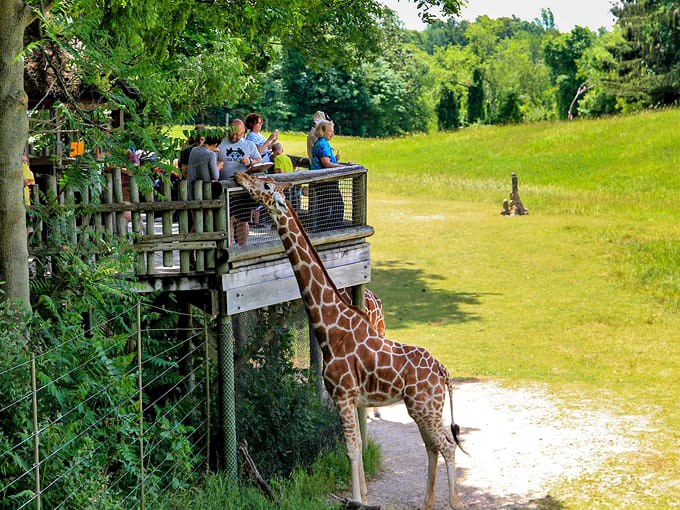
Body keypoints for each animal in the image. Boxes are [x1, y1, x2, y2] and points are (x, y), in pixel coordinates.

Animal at [234, 172, 466, 510]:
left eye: (265, 185)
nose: (240, 175)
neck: (331, 328)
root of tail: (444, 372)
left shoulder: (342, 394)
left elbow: (352, 449)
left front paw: (356, 501)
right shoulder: (352, 398)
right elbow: (357, 446)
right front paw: (365, 496)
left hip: (426, 406)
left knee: (447, 446)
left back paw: (454, 503)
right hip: (422, 408)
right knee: (432, 447)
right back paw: (426, 503)